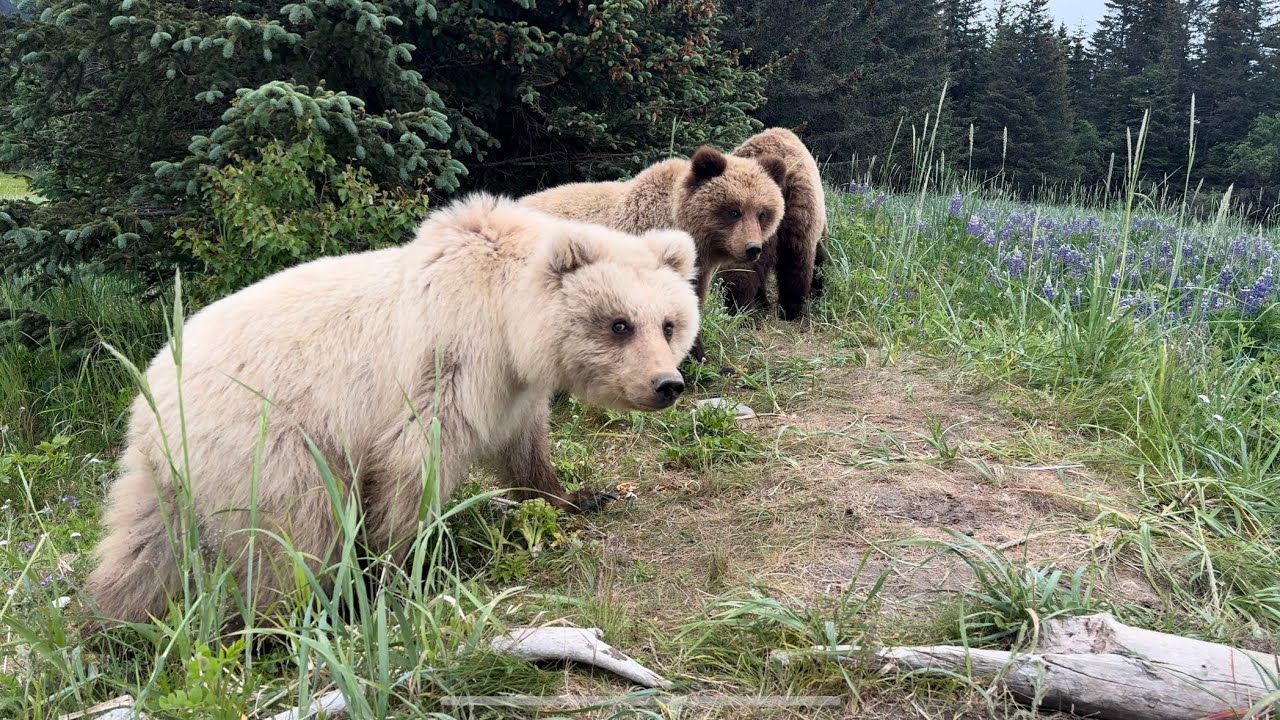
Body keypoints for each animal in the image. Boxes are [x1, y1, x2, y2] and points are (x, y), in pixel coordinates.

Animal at [84, 194, 701, 627]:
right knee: (295, 535)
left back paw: (111, 620)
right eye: (619, 324)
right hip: (272, 445)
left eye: (669, 324)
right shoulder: (447, 366)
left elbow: (524, 449)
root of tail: (150, 399)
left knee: (142, 547)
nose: (666, 384)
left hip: (181, 472)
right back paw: (298, 614)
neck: (506, 321)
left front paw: (582, 495)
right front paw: (406, 570)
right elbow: (415, 467)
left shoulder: (511, 389)